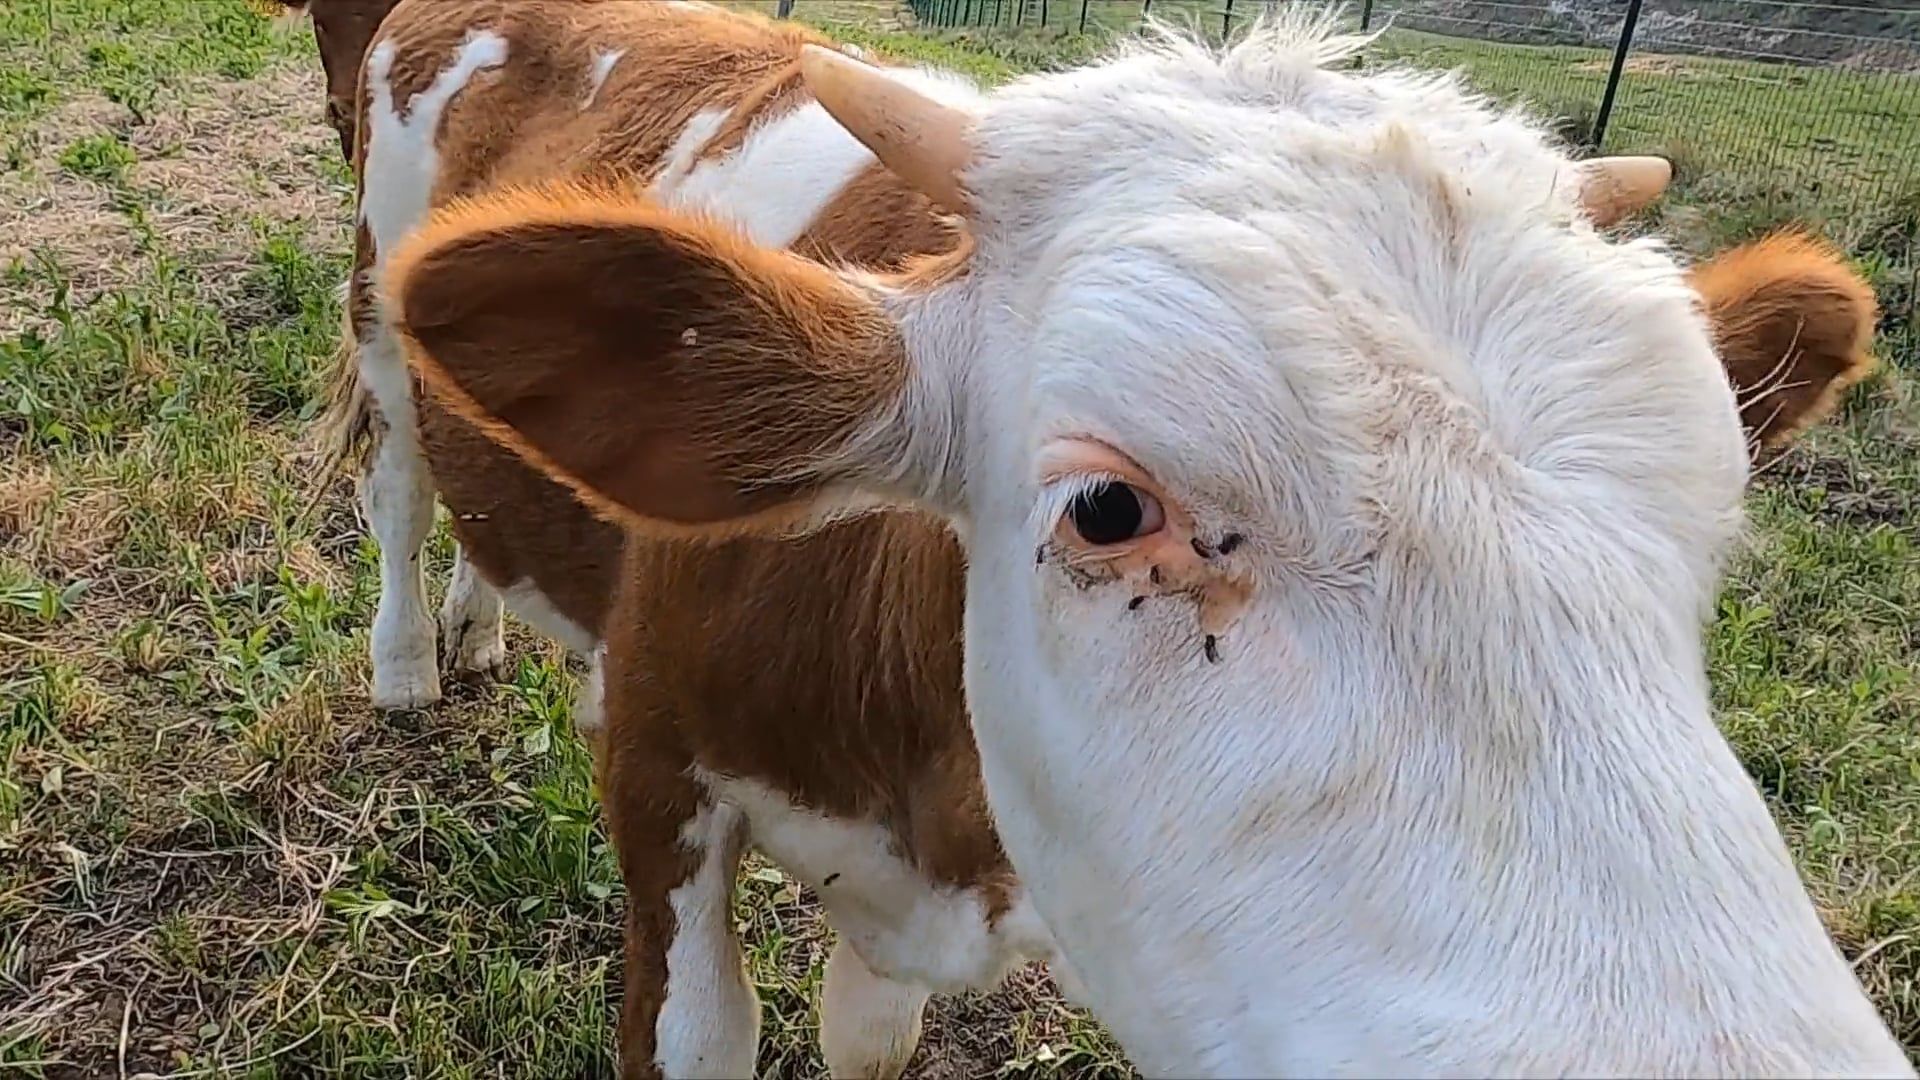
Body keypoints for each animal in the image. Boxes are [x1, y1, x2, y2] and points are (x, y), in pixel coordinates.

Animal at [292, 0, 1897, 1075]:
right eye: (1110, 510)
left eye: (1708, 520)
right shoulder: (658, 778)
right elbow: (700, 1028)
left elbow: (868, 1038)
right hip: (378, 305)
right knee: (402, 489)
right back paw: (407, 664)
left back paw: (481, 629)